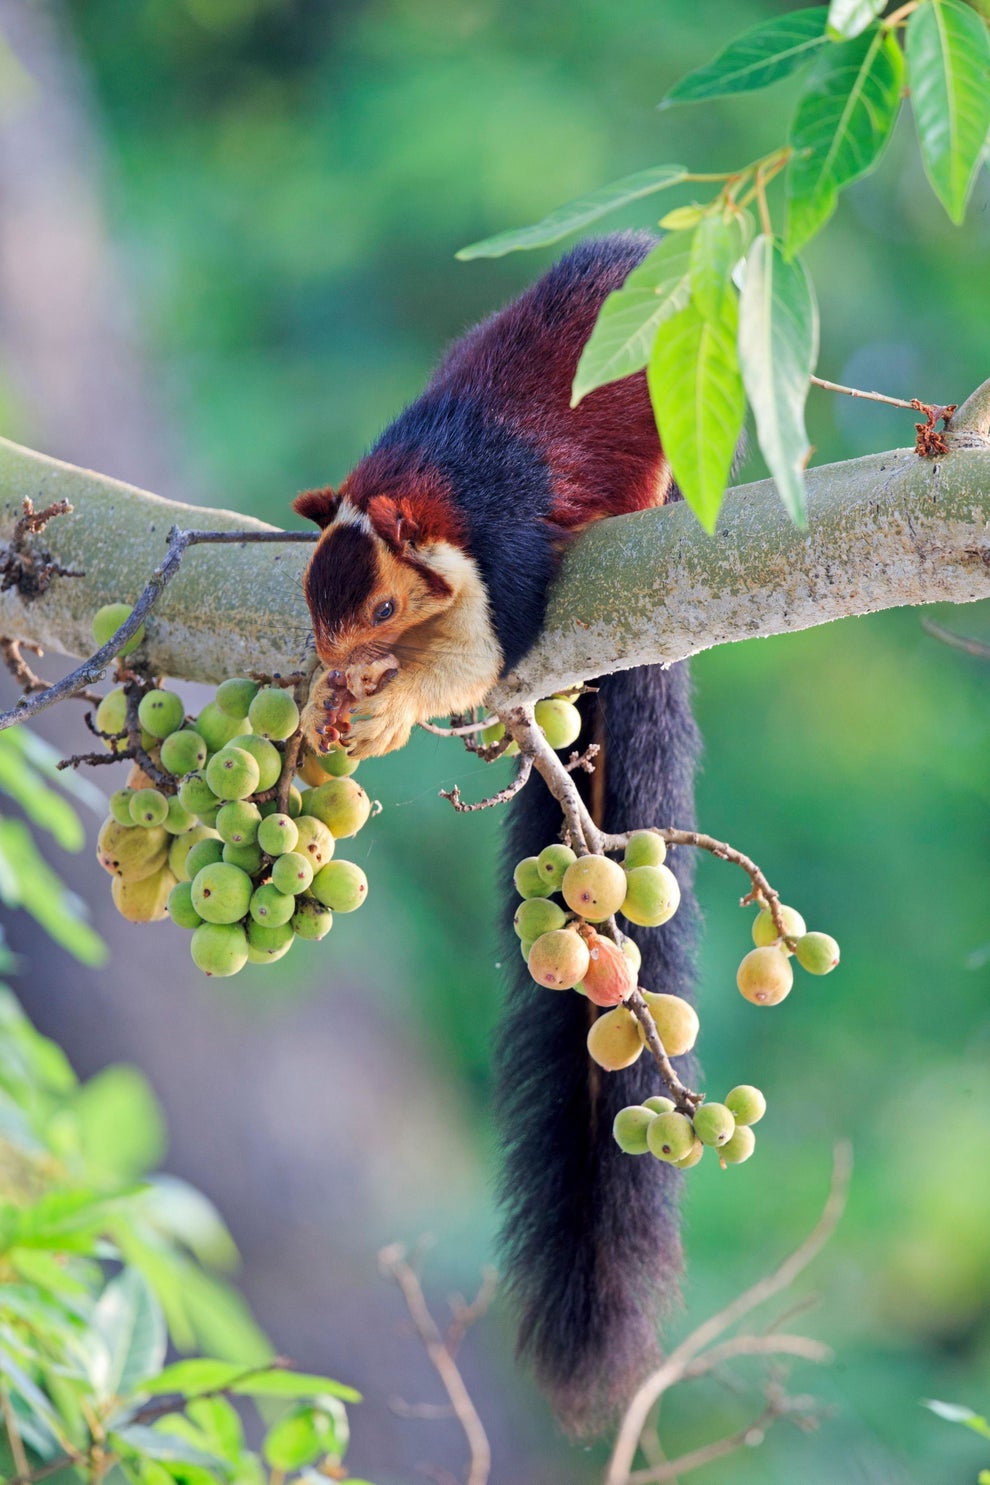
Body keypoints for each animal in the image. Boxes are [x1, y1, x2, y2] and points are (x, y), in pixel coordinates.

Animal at [292, 232, 699, 1436]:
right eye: (311, 603)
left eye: (382, 608)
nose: (341, 667)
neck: (426, 478)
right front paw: (335, 701)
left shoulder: (509, 553)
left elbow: (485, 652)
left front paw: (391, 706)